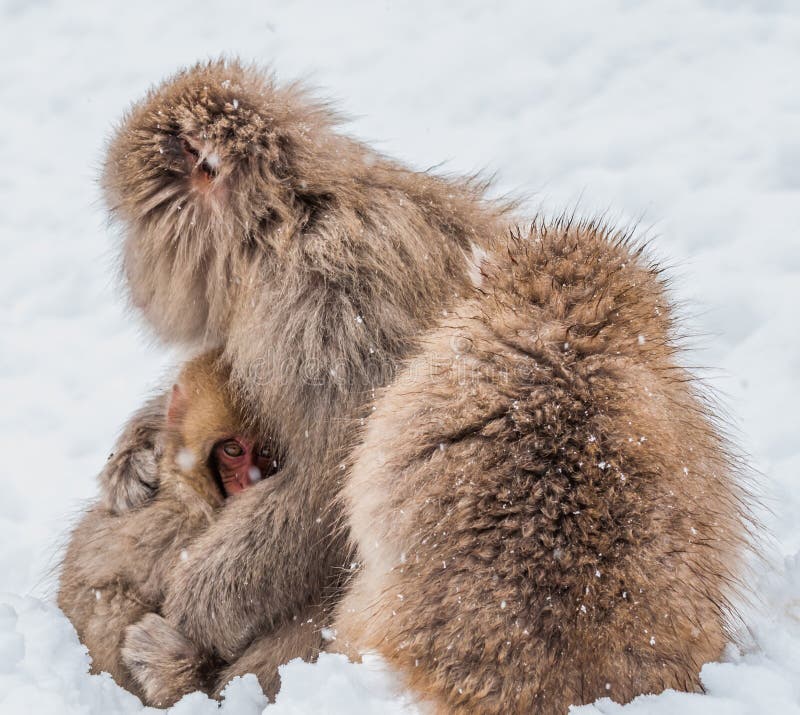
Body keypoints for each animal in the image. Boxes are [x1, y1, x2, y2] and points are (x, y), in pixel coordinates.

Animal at [96, 58, 512, 702]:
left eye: (137, 222)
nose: (134, 270)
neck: (287, 219)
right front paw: (136, 448)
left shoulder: (332, 305)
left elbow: (329, 480)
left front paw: (191, 620)